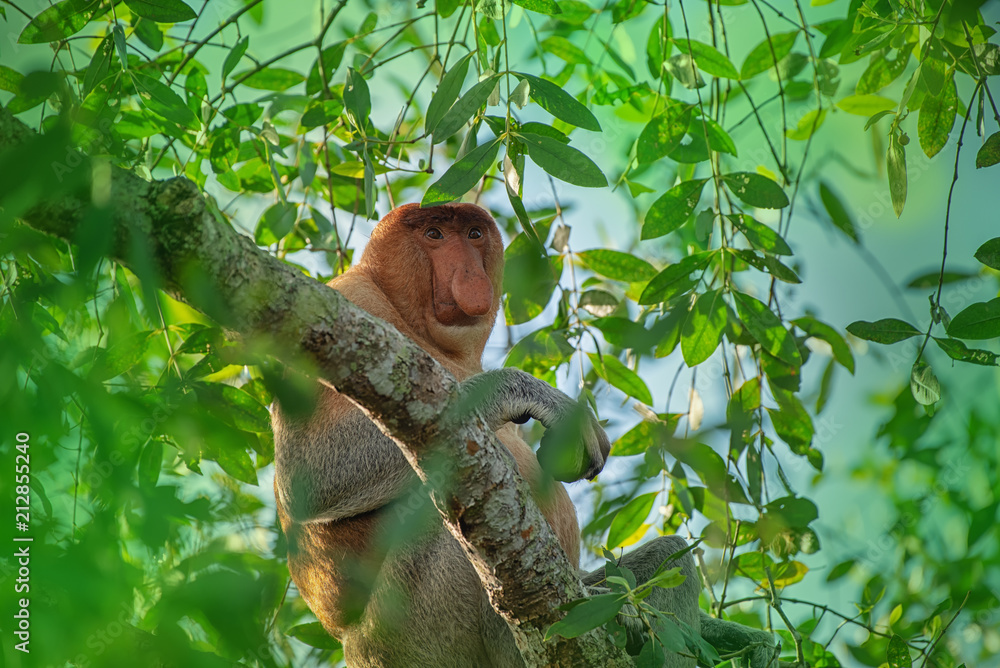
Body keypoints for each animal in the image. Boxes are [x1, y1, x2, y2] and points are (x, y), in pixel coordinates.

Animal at [272, 202, 778, 668]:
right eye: (434, 234)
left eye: (473, 234)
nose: (470, 272)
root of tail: (354, 648)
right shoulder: (347, 297)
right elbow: (314, 479)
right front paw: (532, 394)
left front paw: (747, 640)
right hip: (412, 633)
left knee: (671, 556)